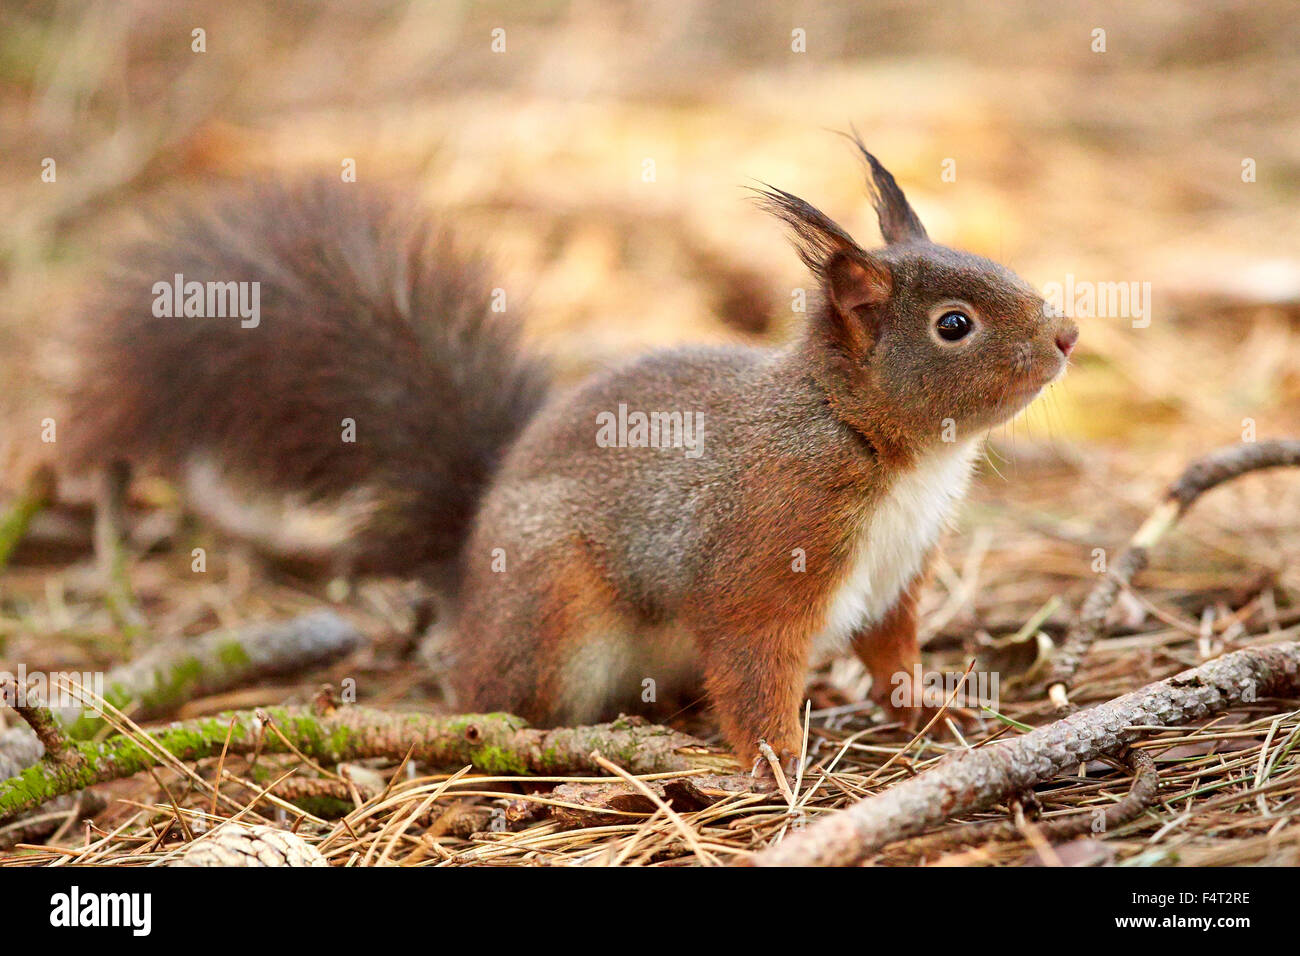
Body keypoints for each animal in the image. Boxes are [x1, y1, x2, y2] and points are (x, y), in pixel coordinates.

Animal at [64, 138, 1078, 774]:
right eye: (955, 326)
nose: (1067, 334)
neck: (884, 450)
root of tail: (470, 562)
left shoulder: (897, 574)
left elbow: (891, 654)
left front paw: (936, 708)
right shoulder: (763, 555)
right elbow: (753, 662)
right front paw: (778, 760)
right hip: (556, 609)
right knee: (508, 695)